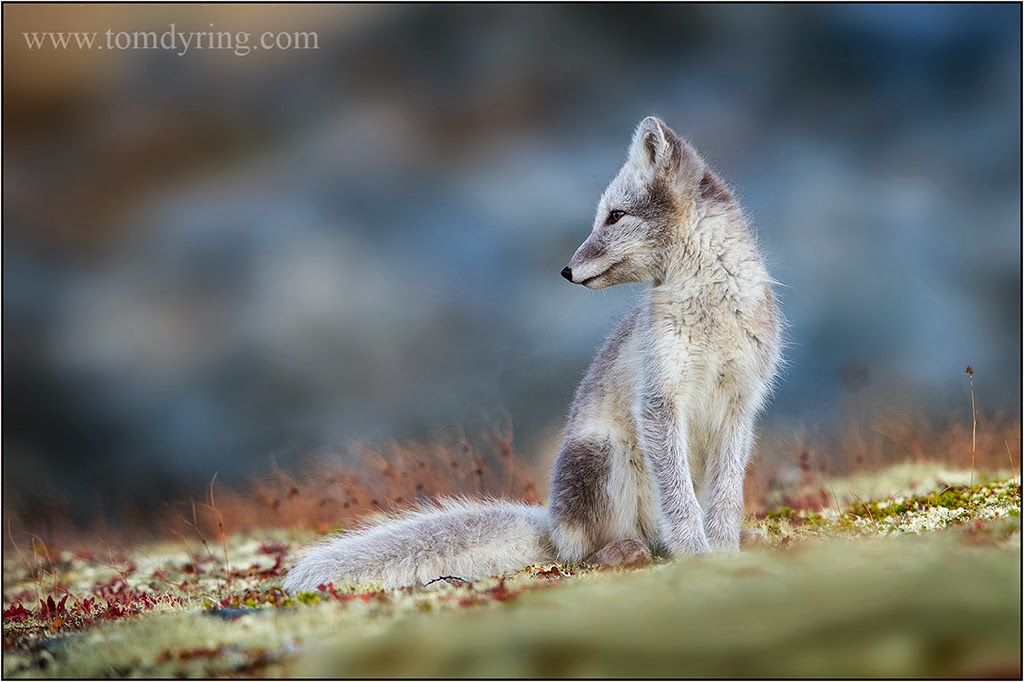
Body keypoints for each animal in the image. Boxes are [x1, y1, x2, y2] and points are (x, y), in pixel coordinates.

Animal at [283, 116, 782, 592]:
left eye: (616, 215)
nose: (565, 270)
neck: (709, 308)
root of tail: (553, 521)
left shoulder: (741, 404)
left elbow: (725, 497)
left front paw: (723, 548)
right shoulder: (660, 398)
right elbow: (678, 500)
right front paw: (697, 554)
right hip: (601, 455)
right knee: (584, 551)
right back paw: (622, 552)